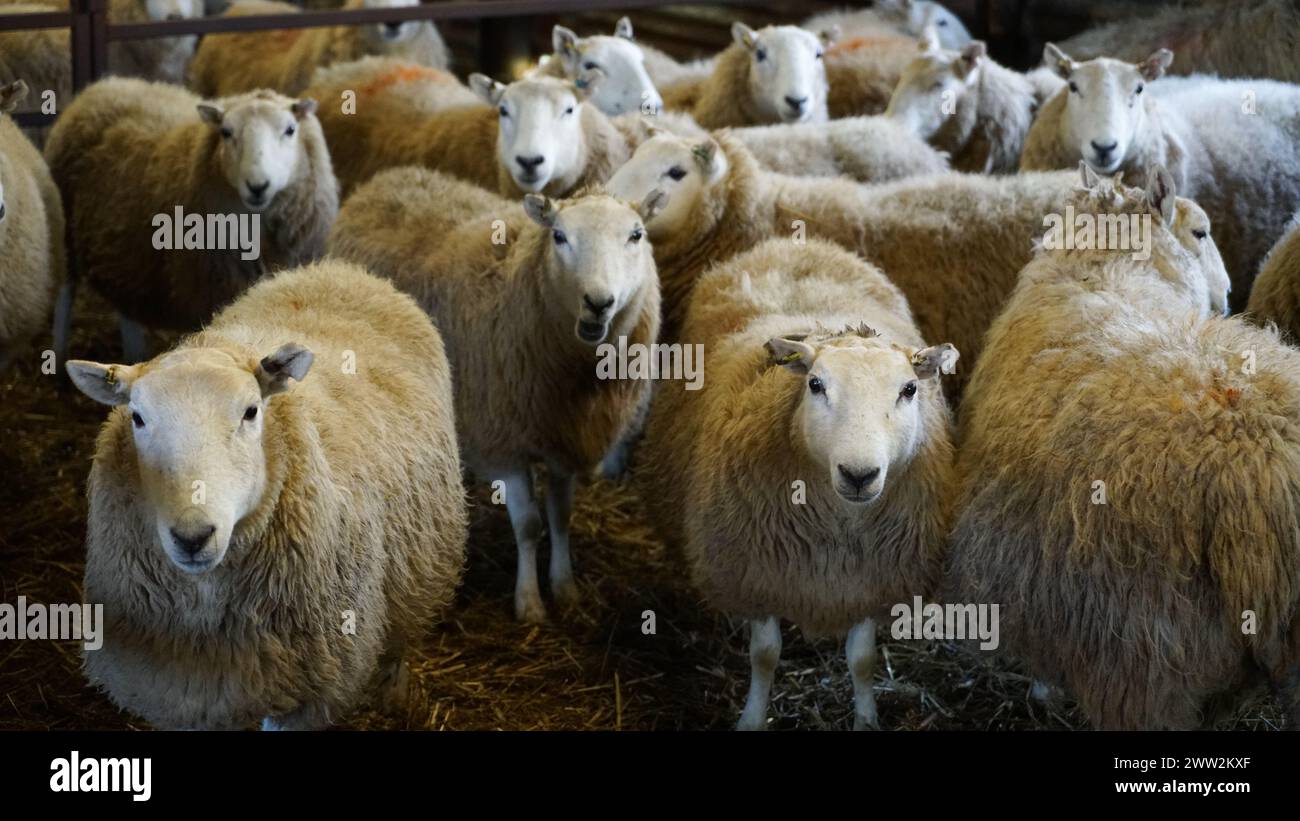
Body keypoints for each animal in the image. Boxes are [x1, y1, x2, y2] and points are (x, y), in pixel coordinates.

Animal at [44, 77, 337, 362]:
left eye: (290, 130)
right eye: (226, 132)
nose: (258, 186)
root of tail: (102, 84)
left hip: (124, 252)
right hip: (64, 230)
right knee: (64, 296)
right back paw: (57, 358)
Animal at [65, 258, 467, 730]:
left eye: (251, 411)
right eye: (138, 418)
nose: (192, 537)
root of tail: (338, 270)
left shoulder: (305, 691)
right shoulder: (181, 693)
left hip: (421, 568)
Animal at [327, 166, 665, 623]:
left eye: (636, 235)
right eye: (559, 236)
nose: (598, 302)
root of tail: (390, 177)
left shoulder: (565, 438)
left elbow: (561, 516)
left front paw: (565, 588)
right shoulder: (502, 439)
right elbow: (529, 525)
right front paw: (530, 602)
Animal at [635, 236, 958, 730]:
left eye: (909, 389)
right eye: (816, 384)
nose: (859, 474)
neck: (840, 526)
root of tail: (793, 242)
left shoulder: (871, 578)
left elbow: (862, 659)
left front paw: (866, 718)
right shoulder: (758, 572)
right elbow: (765, 655)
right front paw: (751, 717)